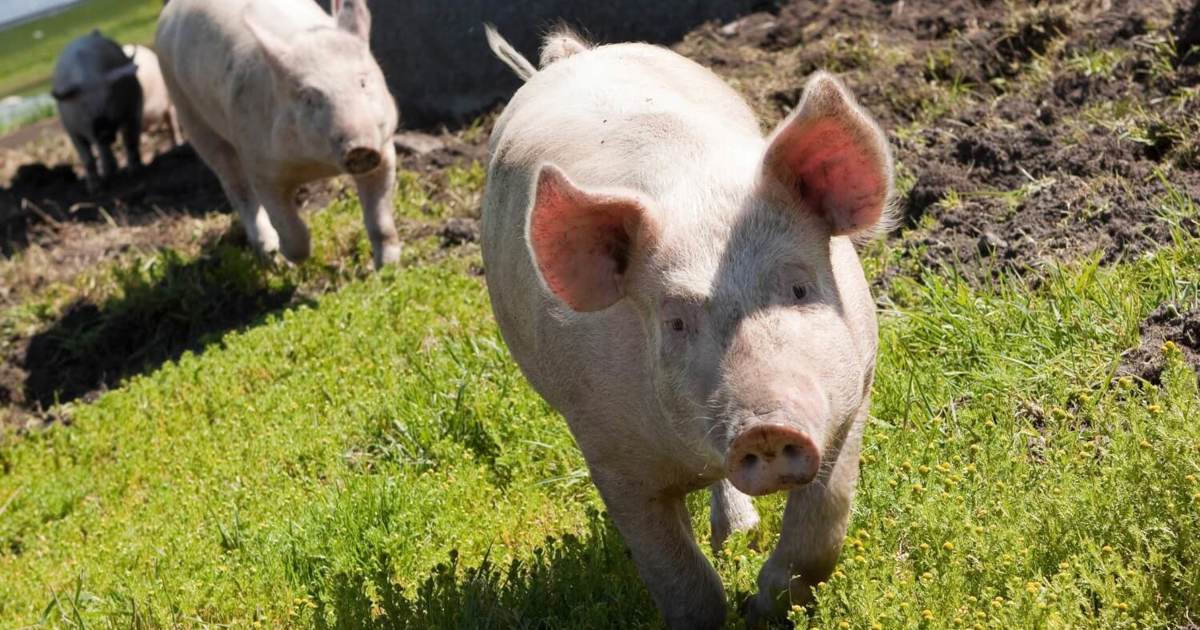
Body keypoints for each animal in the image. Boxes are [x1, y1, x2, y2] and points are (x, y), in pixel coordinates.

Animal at [51, 30, 143, 192]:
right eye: (84, 104)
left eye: (110, 96)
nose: (103, 128)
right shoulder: (73, 131)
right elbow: (87, 158)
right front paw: (95, 188)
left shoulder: (133, 110)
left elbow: (130, 141)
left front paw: (134, 171)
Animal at [155, 0, 401, 268]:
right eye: (309, 98)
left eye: (363, 82)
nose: (360, 148)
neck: (317, 166)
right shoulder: (260, 166)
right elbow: (289, 227)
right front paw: (289, 260)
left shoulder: (384, 148)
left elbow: (380, 220)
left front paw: (387, 268)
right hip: (189, 112)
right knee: (236, 186)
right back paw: (269, 254)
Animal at [482, 26, 894, 629]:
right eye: (675, 321)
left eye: (798, 289)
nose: (765, 428)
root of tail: (570, 58)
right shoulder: (608, 452)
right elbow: (682, 584)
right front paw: (731, 606)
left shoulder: (854, 395)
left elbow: (821, 536)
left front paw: (759, 610)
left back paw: (740, 535)